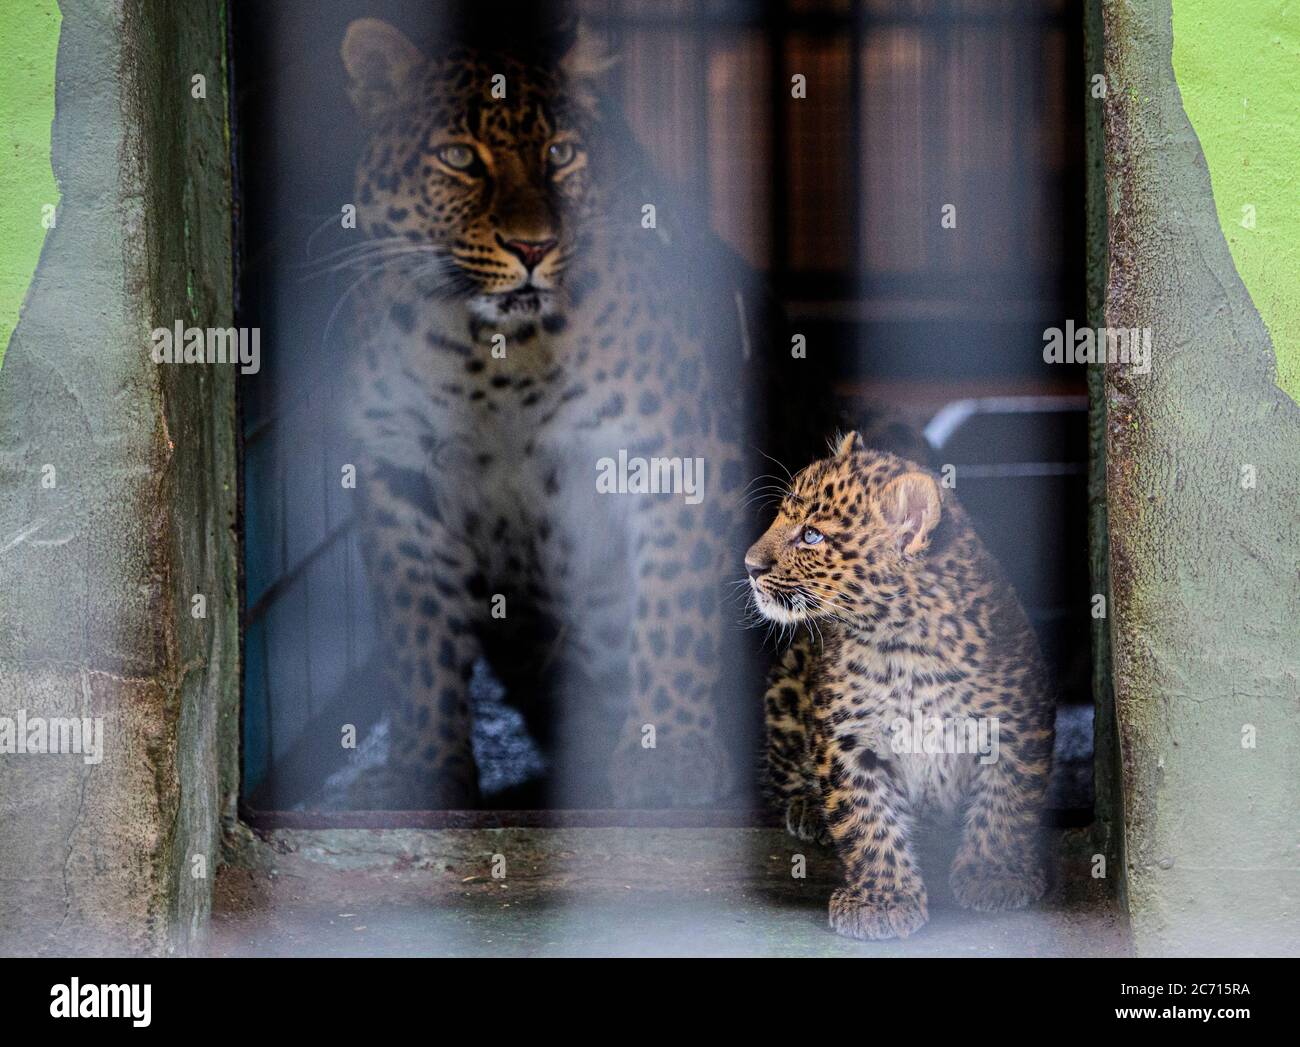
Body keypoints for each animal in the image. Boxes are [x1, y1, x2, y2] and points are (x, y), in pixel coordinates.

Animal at [335, 18, 786, 808]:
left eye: (560, 154)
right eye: (460, 158)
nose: (533, 245)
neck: (495, 360)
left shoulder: (675, 453)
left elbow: (675, 607)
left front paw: (668, 753)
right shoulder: (398, 474)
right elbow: (418, 636)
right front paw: (422, 768)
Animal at [745, 431, 1056, 940]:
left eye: (812, 535)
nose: (749, 566)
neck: (902, 645)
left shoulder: (1017, 722)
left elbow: (1007, 804)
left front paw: (993, 875)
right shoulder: (848, 740)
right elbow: (866, 821)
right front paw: (881, 901)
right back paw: (808, 809)